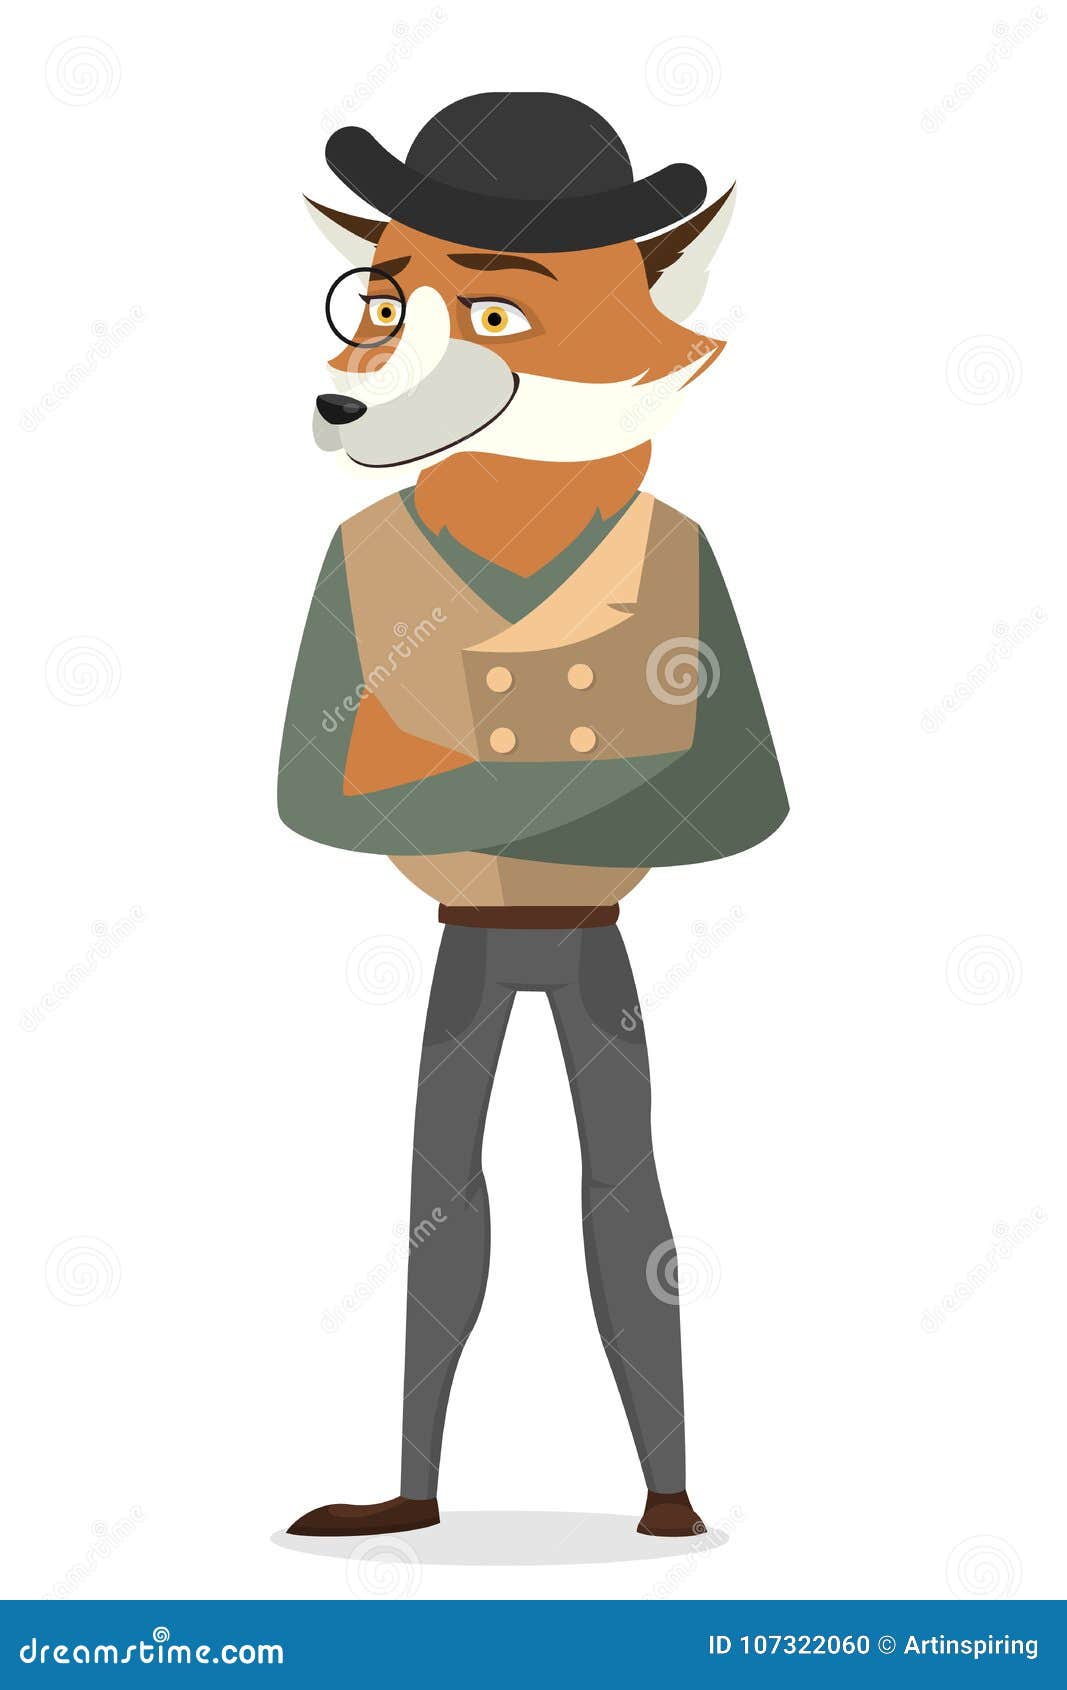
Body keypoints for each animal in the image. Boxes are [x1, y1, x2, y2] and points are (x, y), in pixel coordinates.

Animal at [279, 92, 787, 1544]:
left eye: (496, 314)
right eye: (377, 301)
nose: (335, 396)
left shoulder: (709, 584)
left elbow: (737, 791)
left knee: (622, 1210)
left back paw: (668, 1505)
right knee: (444, 1213)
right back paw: (405, 1504)